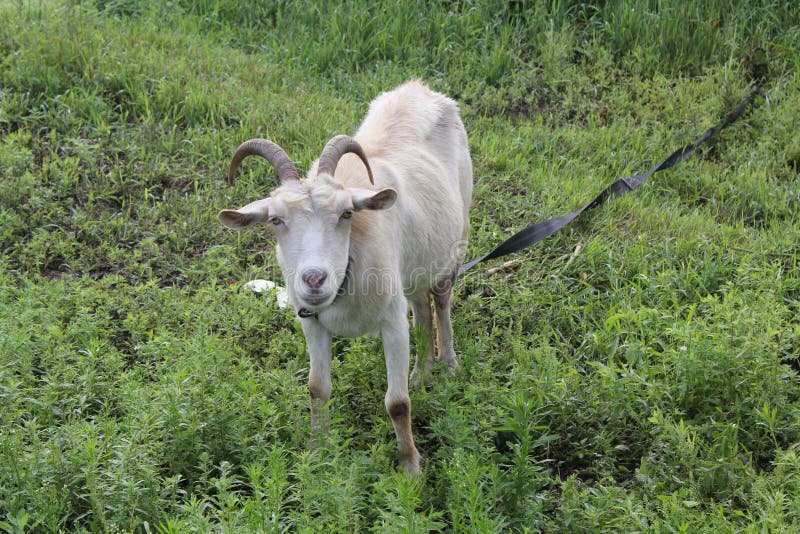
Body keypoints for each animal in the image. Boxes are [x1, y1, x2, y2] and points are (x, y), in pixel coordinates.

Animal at [218, 81, 472, 473]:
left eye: (346, 213)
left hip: (455, 240)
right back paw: (421, 373)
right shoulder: (312, 323)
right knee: (421, 309)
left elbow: (397, 403)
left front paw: (411, 469)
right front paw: (317, 454)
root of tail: (419, 88)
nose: (314, 279)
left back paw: (448, 364)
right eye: (275, 219)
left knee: (442, 299)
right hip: (413, 266)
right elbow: (317, 389)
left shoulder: (391, 321)